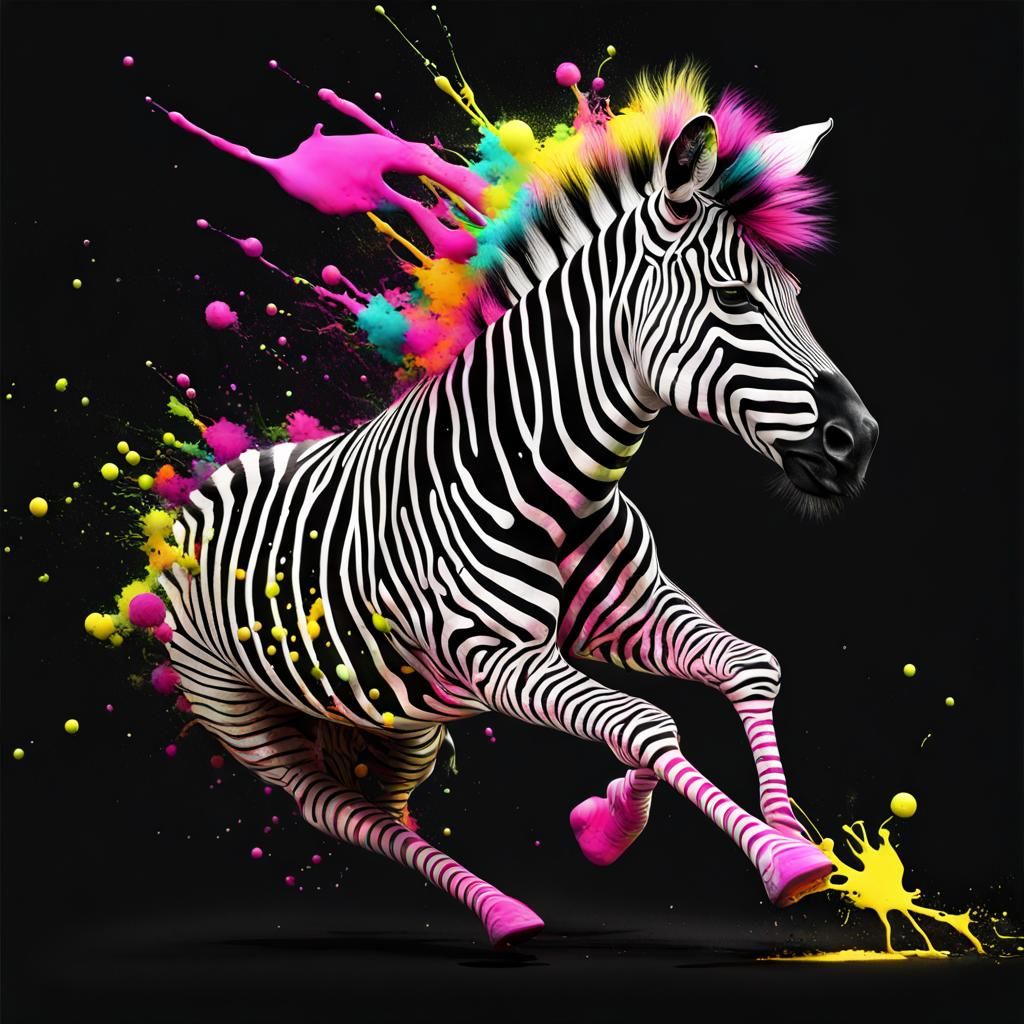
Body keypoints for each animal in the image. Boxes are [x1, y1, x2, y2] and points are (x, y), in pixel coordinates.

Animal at [158, 107, 878, 948]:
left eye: (796, 293)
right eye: (733, 298)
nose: (859, 442)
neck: (541, 475)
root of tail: (214, 482)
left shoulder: (632, 614)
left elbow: (746, 666)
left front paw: (692, 826)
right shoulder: (497, 658)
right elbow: (642, 721)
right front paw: (778, 858)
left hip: (400, 719)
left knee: (383, 809)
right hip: (239, 710)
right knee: (335, 811)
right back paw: (504, 916)